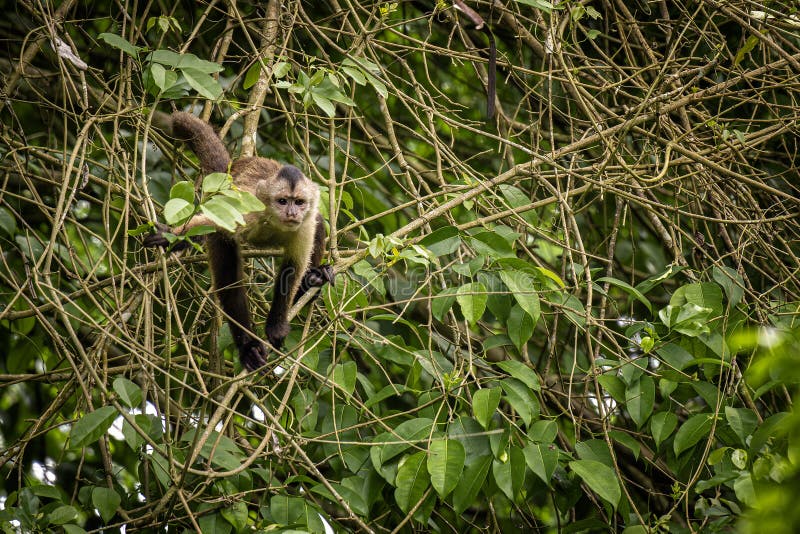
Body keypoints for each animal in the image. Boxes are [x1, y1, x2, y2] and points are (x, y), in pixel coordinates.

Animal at [143, 111, 334, 371]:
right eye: (282, 201)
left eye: (299, 202)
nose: (292, 213)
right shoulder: (249, 208)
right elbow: (210, 220)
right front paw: (170, 235)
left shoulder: (303, 225)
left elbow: (292, 268)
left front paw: (277, 325)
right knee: (228, 274)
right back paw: (248, 347)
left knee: (319, 223)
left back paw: (310, 284)